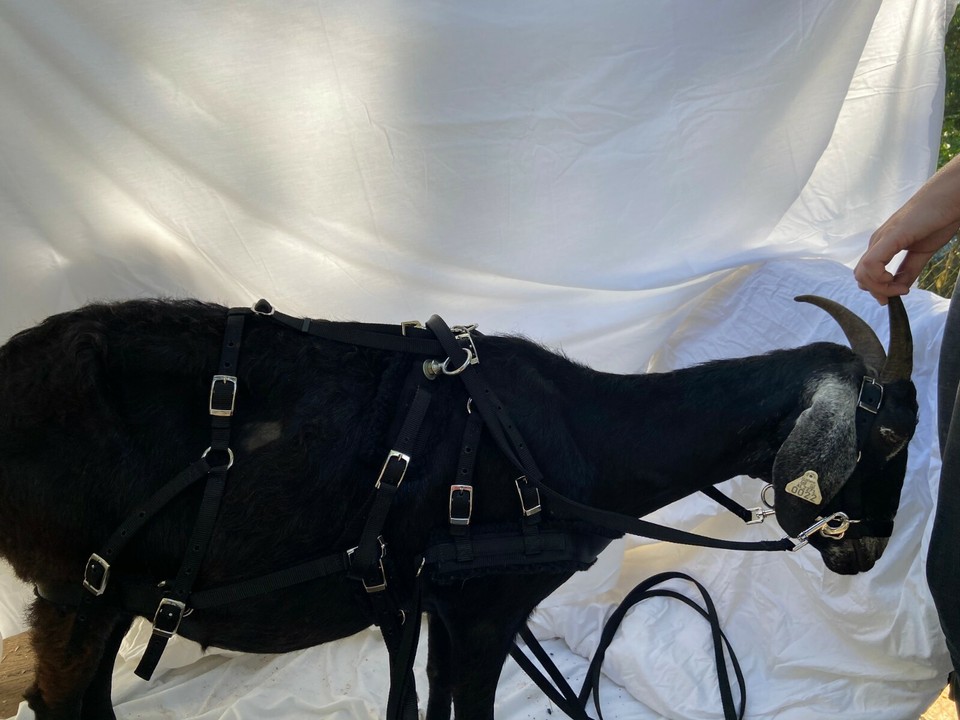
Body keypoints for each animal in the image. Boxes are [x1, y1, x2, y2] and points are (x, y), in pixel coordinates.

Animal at [0, 294, 916, 720]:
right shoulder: (487, 611)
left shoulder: (440, 609)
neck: (572, 441)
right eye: (891, 436)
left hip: (113, 596)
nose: (870, 549)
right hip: (78, 591)